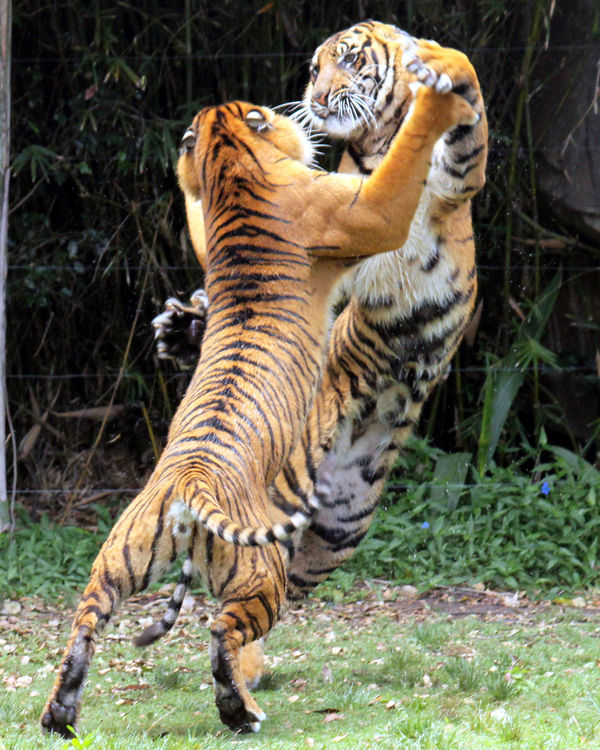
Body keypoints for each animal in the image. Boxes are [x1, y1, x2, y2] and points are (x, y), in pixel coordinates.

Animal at [41, 73, 478, 736]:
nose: (296, 107)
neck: (231, 166)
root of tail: (189, 488)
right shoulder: (363, 211)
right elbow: (401, 170)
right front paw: (434, 100)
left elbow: (191, 208)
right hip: (261, 573)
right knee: (221, 633)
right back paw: (239, 710)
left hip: (117, 558)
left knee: (85, 625)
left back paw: (60, 712)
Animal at [148, 22, 487, 629]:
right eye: (314, 70)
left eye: (349, 61)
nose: (319, 98)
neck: (378, 143)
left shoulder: (457, 179)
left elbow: (469, 122)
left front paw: (438, 62)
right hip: (291, 499)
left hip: (342, 527)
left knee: (286, 582)